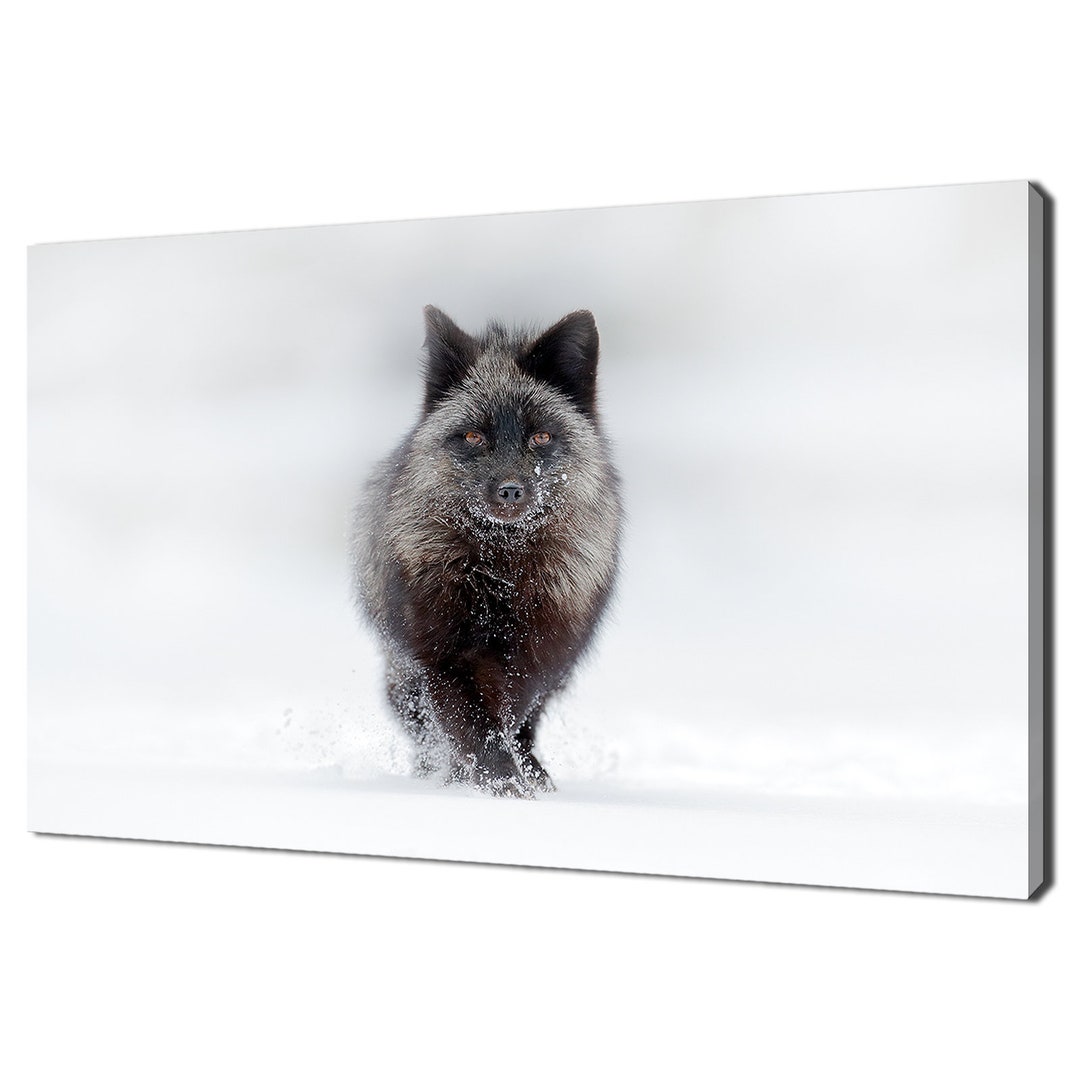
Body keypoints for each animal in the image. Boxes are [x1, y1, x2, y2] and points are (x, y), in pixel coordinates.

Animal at [351, 305, 622, 796]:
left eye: (541, 437)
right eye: (474, 436)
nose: (510, 490)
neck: (501, 570)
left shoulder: (539, 657)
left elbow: (510, 723)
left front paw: (518, 784)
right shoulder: (441, 656)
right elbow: (476, 729)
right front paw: (498, 785)